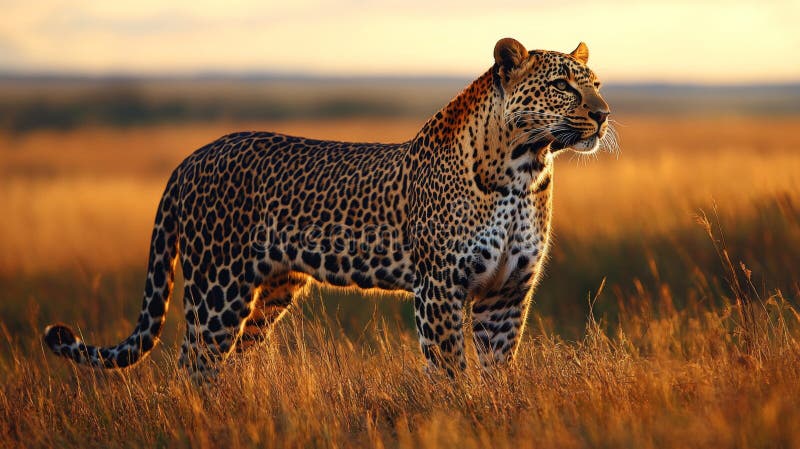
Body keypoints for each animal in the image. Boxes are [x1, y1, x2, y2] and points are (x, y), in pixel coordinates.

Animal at [44, 38, 614, 379]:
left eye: (597, 85)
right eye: (562, 86)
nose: (605, 114)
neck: (524, 171)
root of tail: (193, 156)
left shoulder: (507, 294)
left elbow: (498, 374)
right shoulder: (440, 290)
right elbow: (450, 373)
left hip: (270, 291)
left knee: (226, 363)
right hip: (217, 289)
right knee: (193, 366)